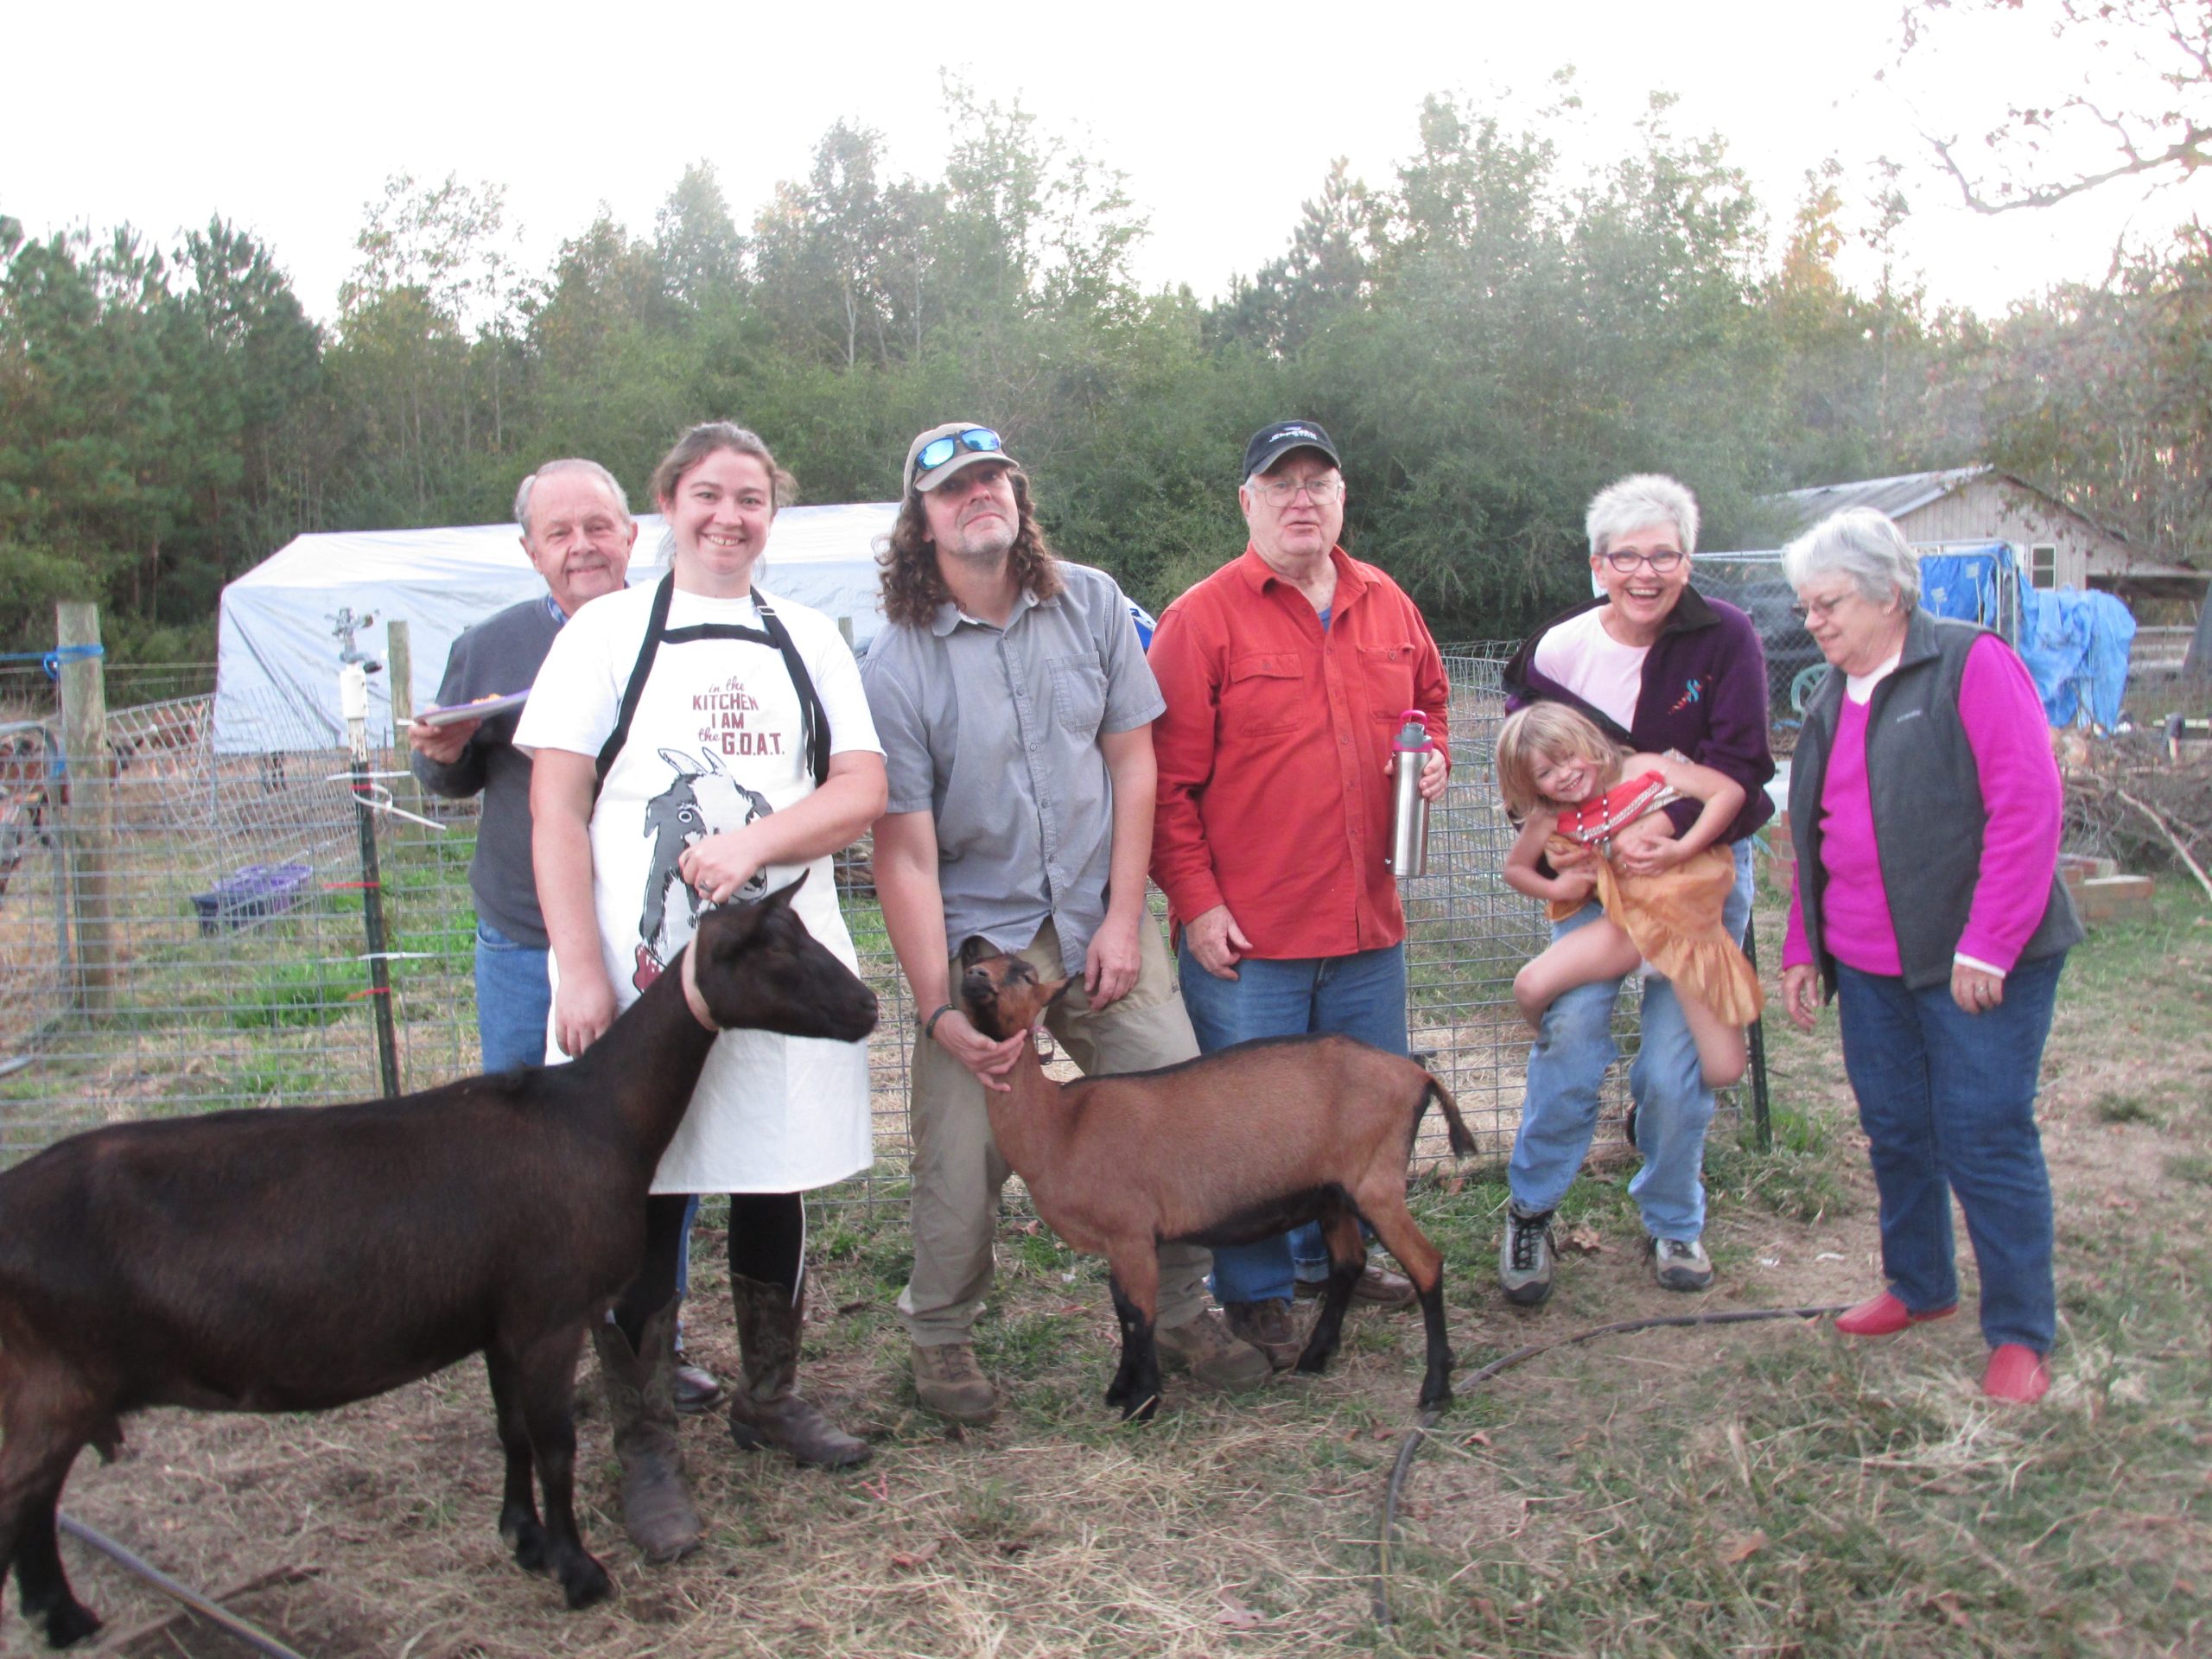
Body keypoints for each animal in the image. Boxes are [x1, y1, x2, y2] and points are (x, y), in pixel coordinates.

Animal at [0, 874, 876, 1649]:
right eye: (778, 950)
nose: (868, 1008)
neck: (598, 1116)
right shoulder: (550, 1315)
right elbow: (555, 1445)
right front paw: (579, 1571)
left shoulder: (497, 1321)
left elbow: (511, 1431)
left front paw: (524, 1539)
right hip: (50, 1384)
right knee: (24, 1496)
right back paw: (62, 1616)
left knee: (30, 1500)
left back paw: (64, 1618)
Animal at [956, 939, 1472, 1423]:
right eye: (977, 965)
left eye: (1024, 974)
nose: (974, 976)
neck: (1060, 1125)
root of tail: (1419, 1076)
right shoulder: (1120, 1242)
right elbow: (1122, 1307)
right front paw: (1121, 1390)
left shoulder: (1131, 1233)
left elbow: (1139, 1313)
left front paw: (1142, 1403)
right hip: (1333, 1194)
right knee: (1349, 1262)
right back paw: (1314, 1357)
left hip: (1376, 1182)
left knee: (1427, 1264)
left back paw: (1435, 1390)